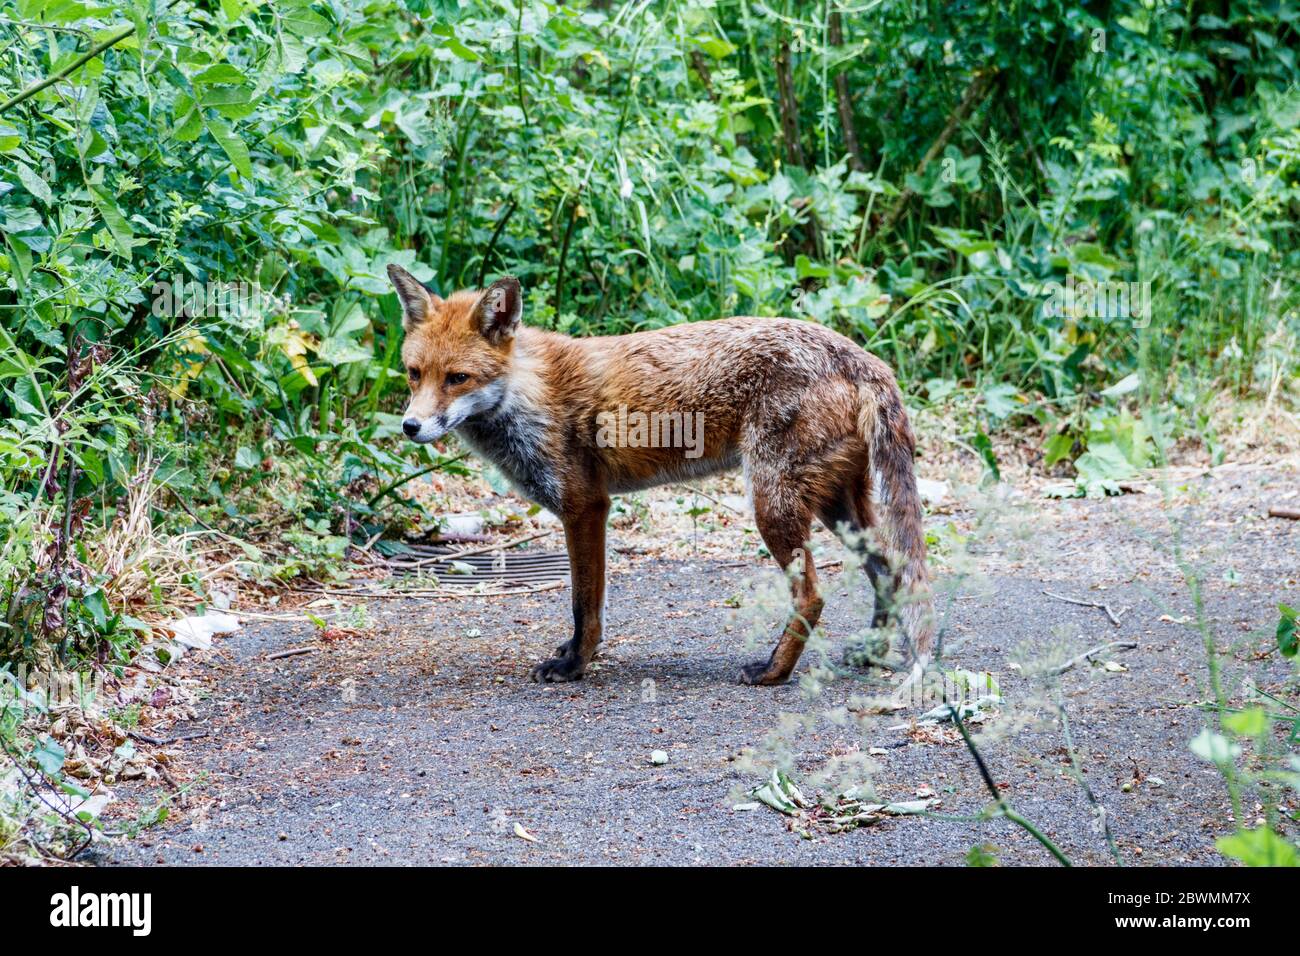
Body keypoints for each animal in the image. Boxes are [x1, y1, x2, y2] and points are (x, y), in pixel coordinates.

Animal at [387, 264, 934, 687]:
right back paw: (870, 652)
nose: (410, 427)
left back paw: (773, 673)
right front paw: (572, 656)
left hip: (773, 502)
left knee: (814, 594)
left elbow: (585, 605)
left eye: (458, 378)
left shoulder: (585, 506)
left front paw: (575, 665)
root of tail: (861, 355)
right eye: (414, 374)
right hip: (836, 504)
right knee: (891, 573)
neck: (528, 393)